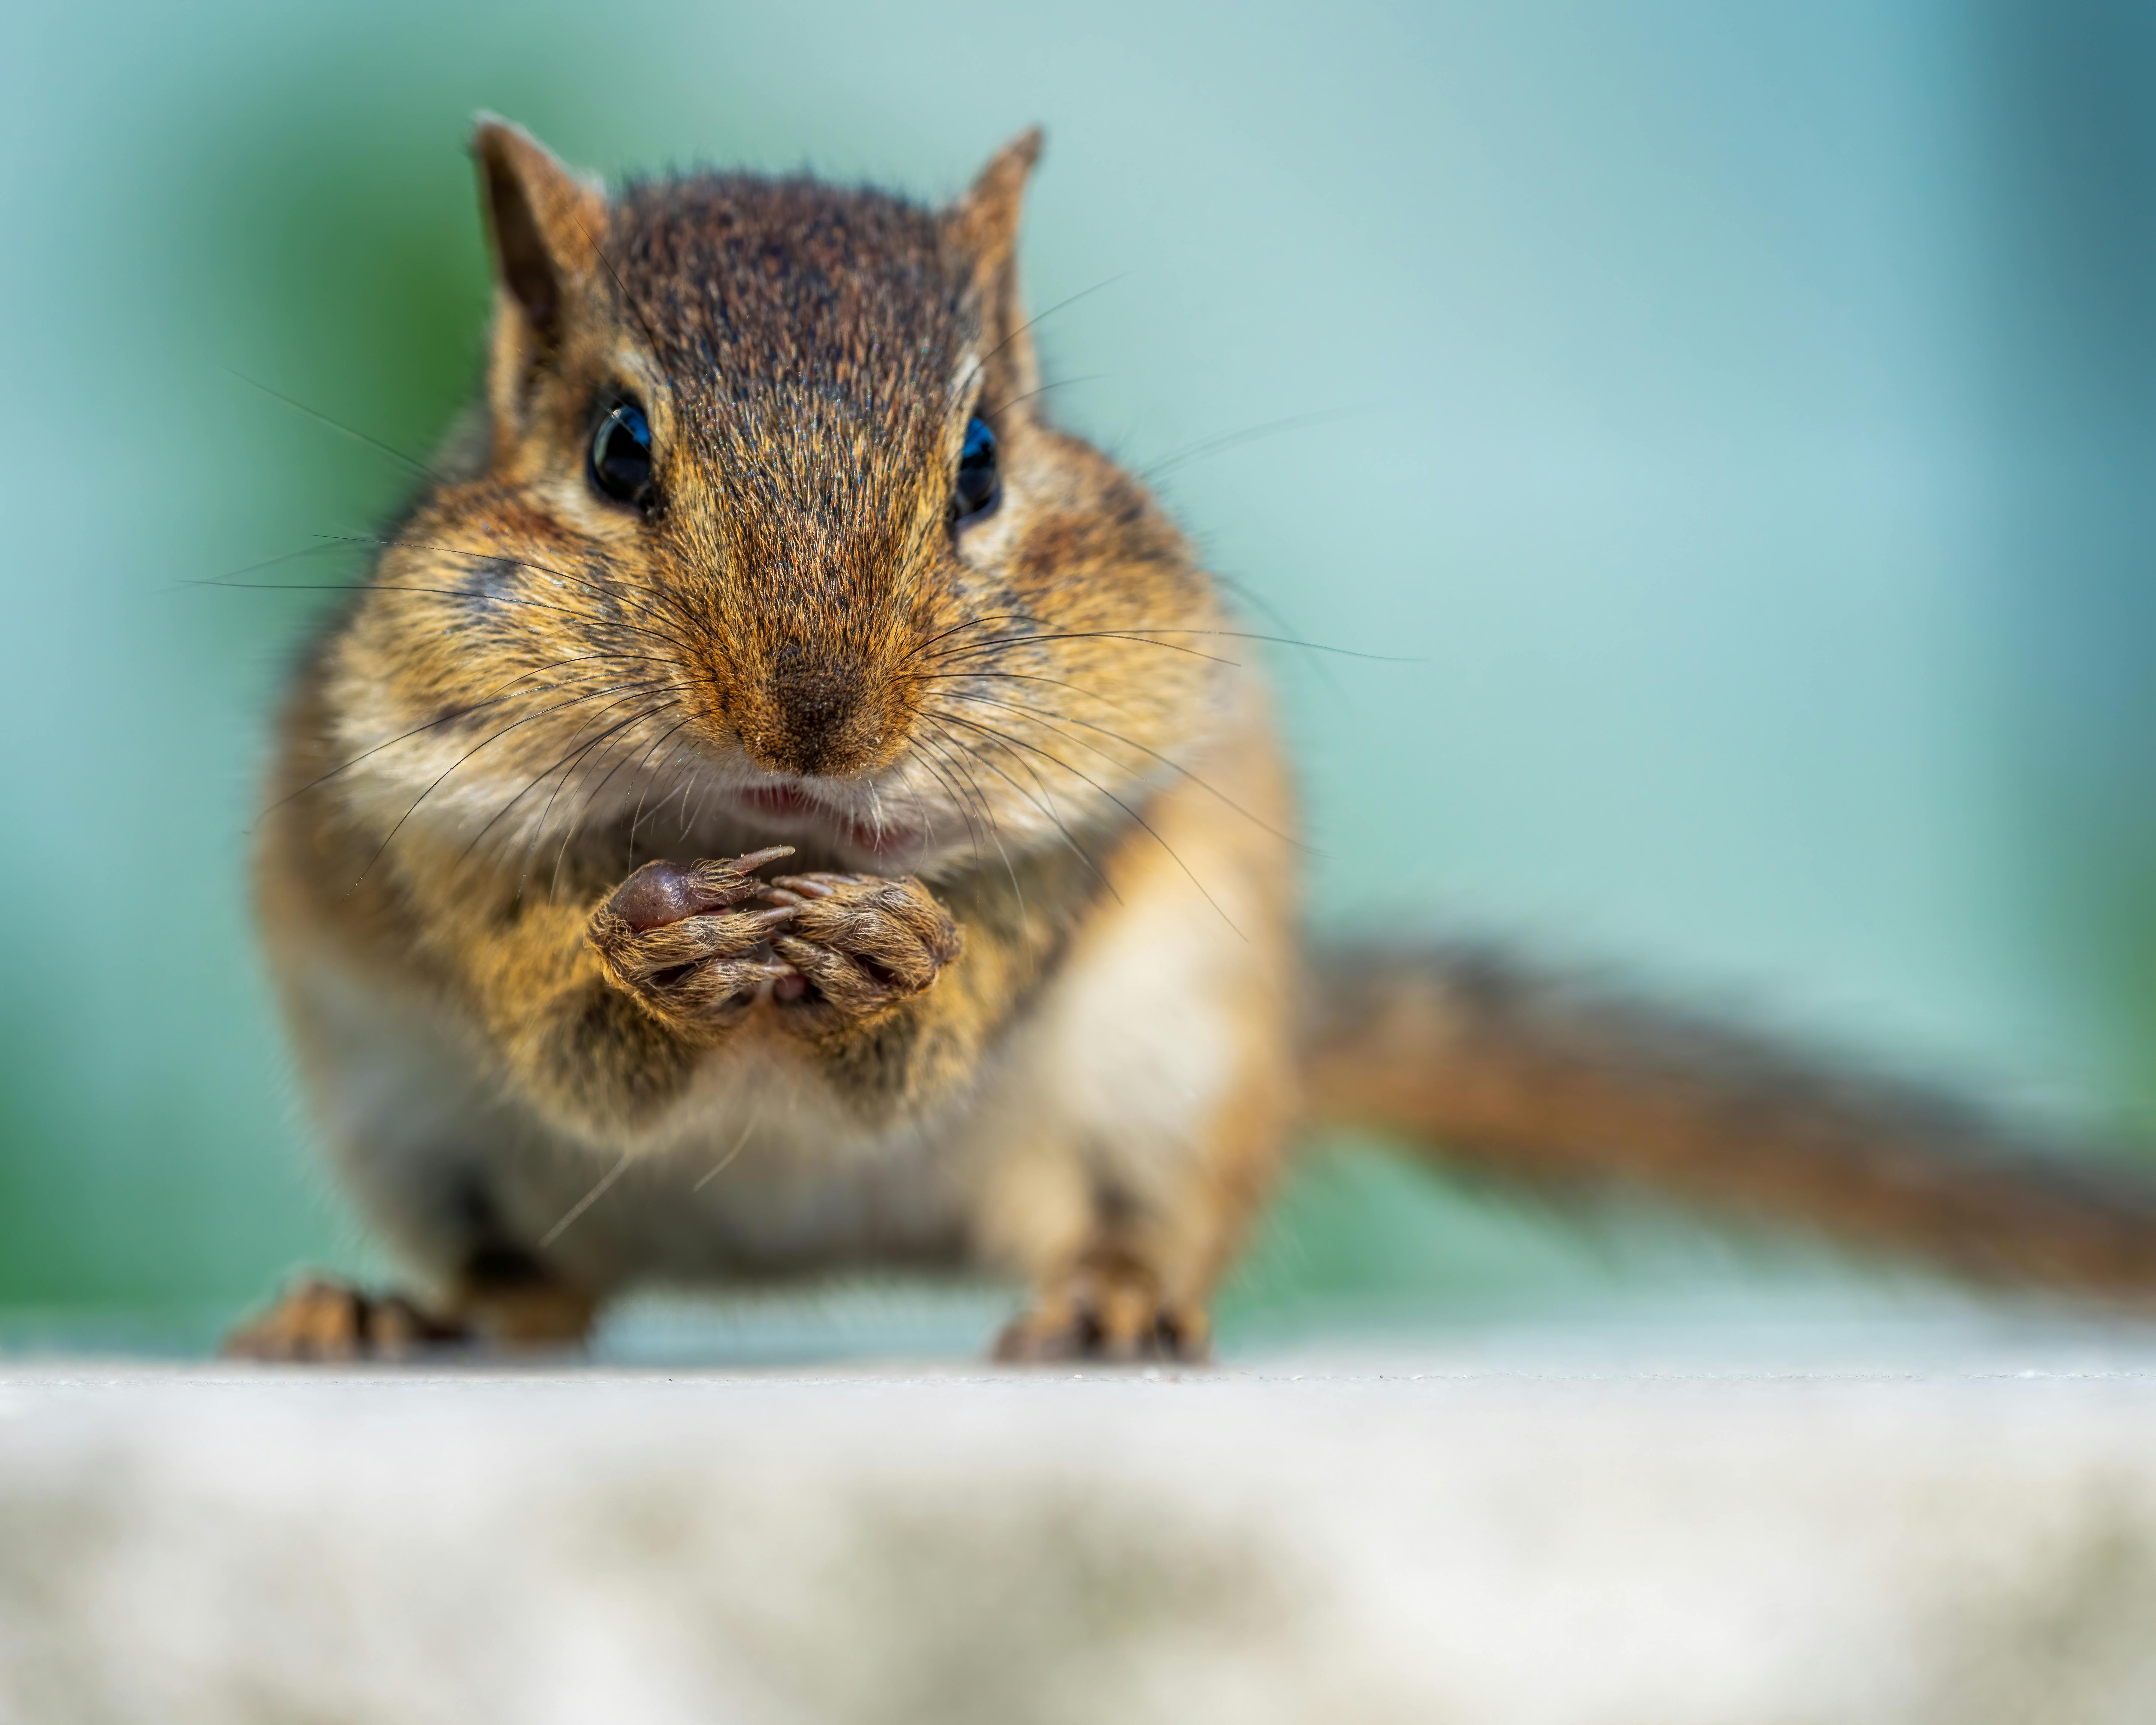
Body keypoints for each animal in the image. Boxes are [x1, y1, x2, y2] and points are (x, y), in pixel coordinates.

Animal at [226, 117, 2156, 1363]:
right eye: (618, 448)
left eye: (982, 464)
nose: (816, 719)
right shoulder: (406, 814)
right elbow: (553, 1011)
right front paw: (647, 946)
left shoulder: (1101, 814)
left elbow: (955, 993)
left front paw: (897, 958)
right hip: (409, 1124)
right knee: (541, 1290)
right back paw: (393, 1312)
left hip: (1186, 1063)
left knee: (1118, 1225)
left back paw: (1110, 1303)